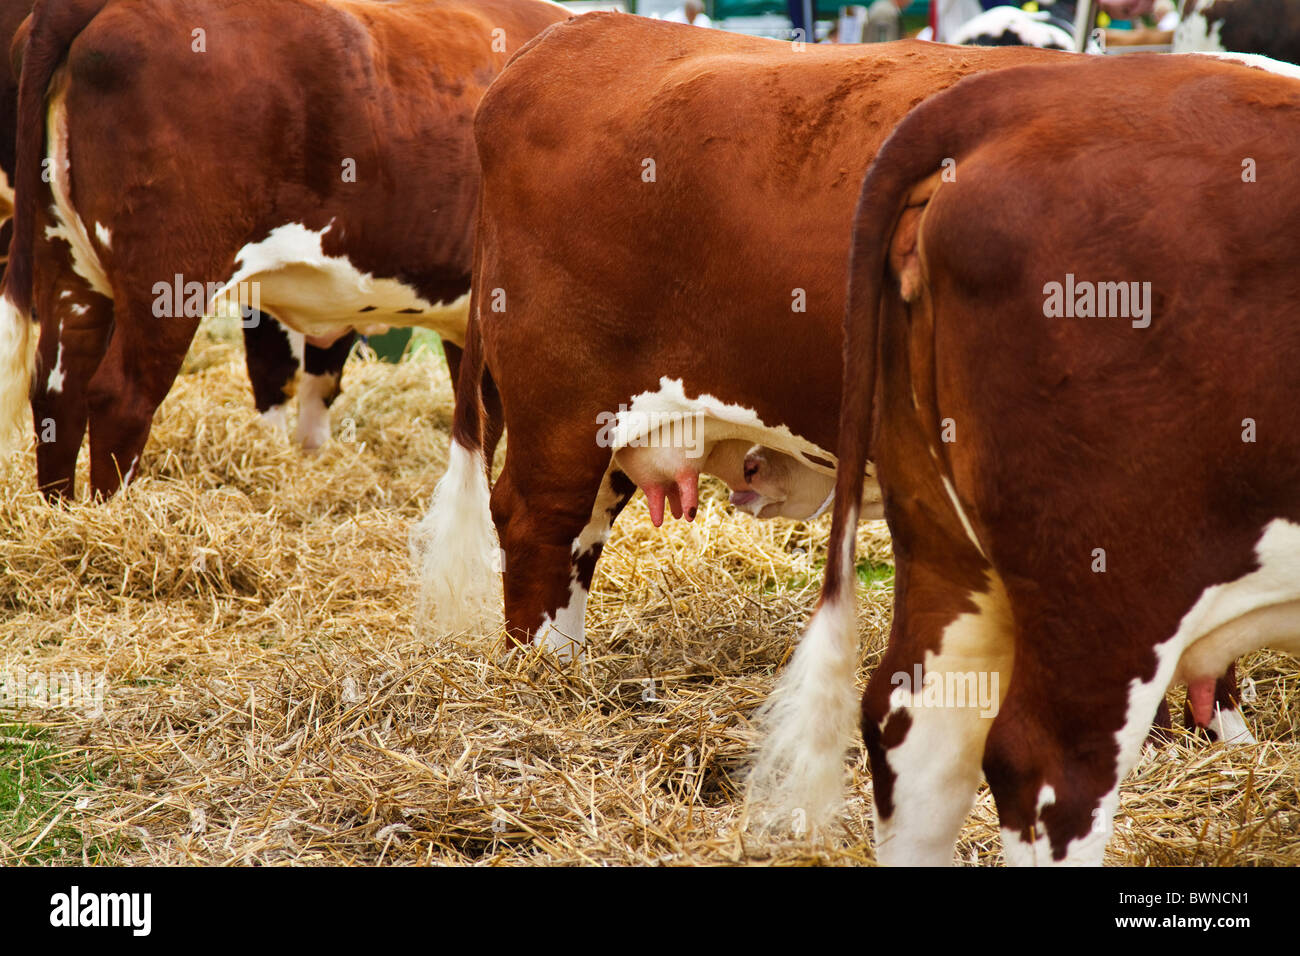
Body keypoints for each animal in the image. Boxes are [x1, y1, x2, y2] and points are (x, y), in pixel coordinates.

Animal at [0, 0, 568, 498]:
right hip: (168, 279)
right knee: (122, 397)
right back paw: (114, 520)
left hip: (69, 267)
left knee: (57, 390)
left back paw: (61, 519)